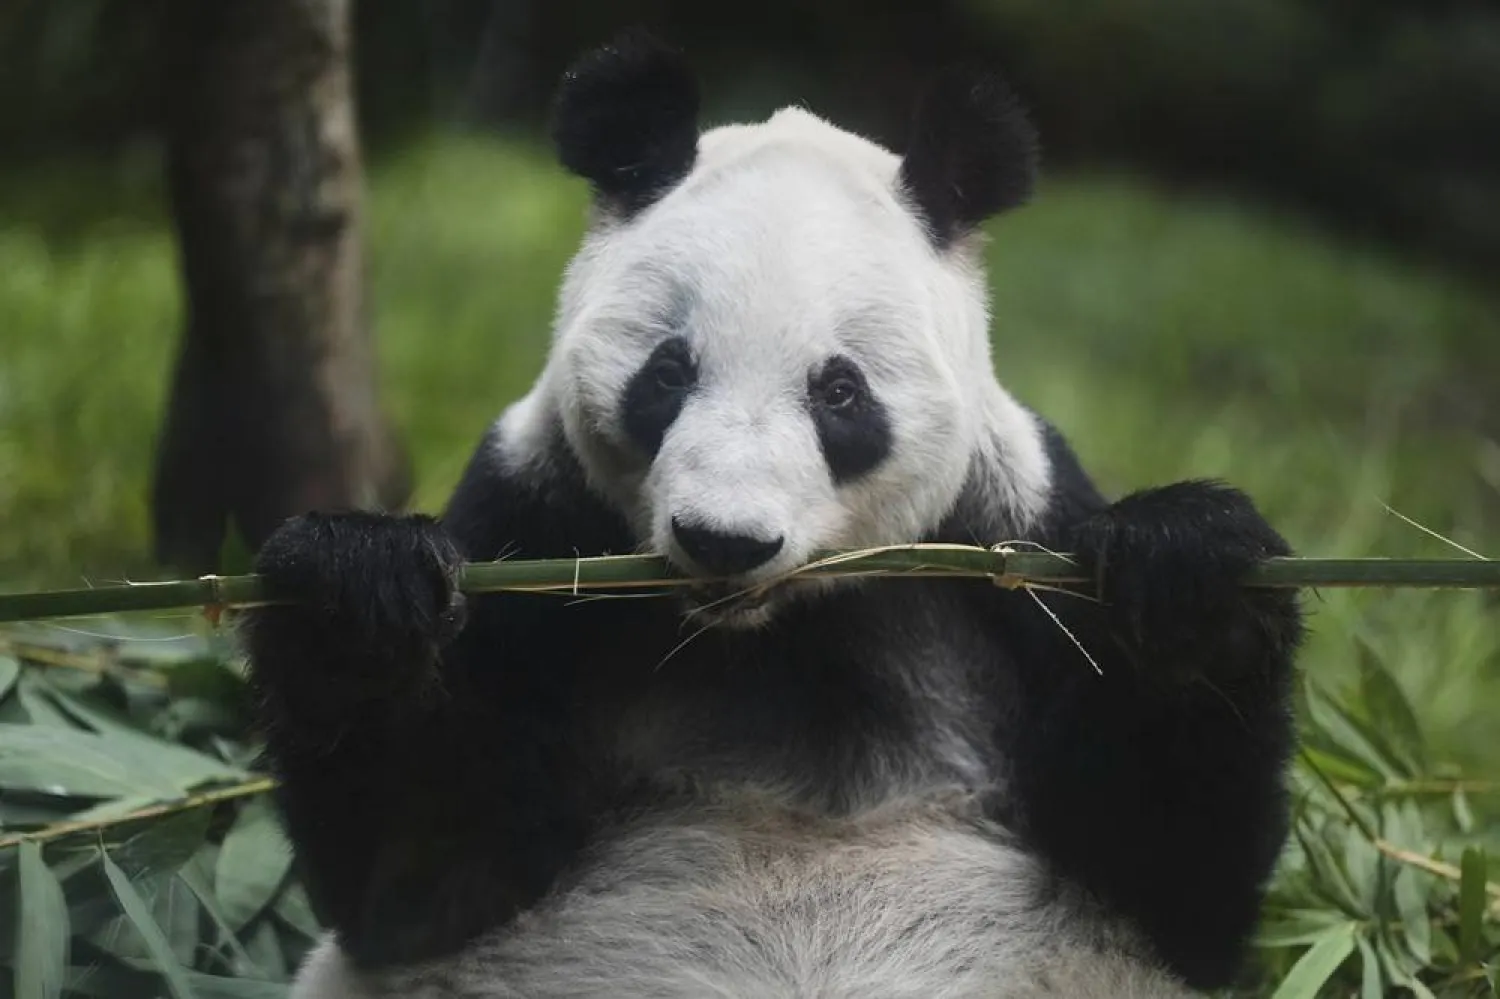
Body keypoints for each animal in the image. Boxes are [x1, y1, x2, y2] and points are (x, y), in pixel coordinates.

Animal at [242, 31, 1304, 999]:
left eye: (840, 393)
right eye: (667, 374)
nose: (724, 539)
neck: (768, 633)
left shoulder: (1017, 538)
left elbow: (1168, 873)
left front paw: (1188, 579)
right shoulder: (533, 522)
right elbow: (426, 873)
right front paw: (357, 594)